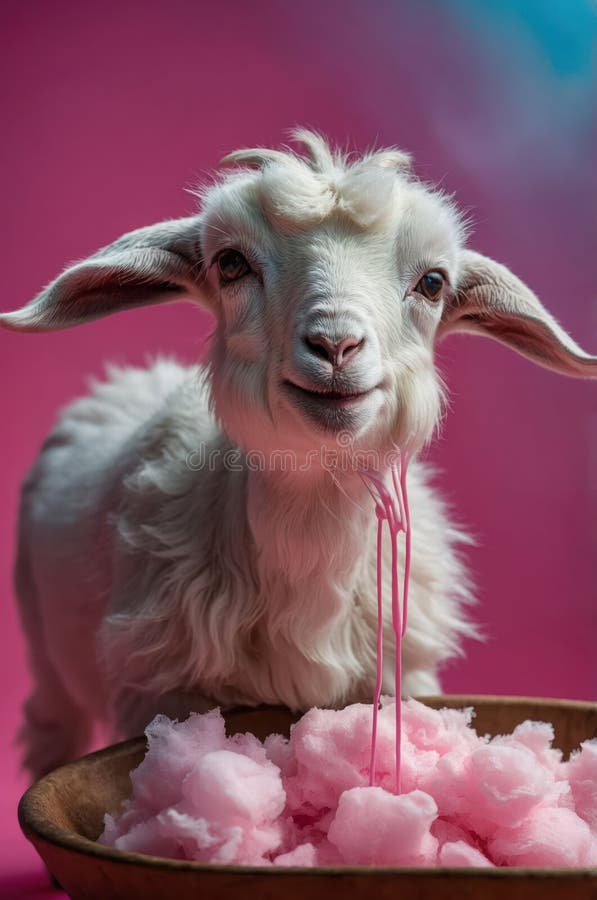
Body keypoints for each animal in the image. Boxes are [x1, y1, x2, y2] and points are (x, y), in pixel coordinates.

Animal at [2, 130, 595, 781]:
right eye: (231, 263)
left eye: (433, 283)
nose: (335, 345)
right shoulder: (160, 691)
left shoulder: (404, 672)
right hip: (42, 644)